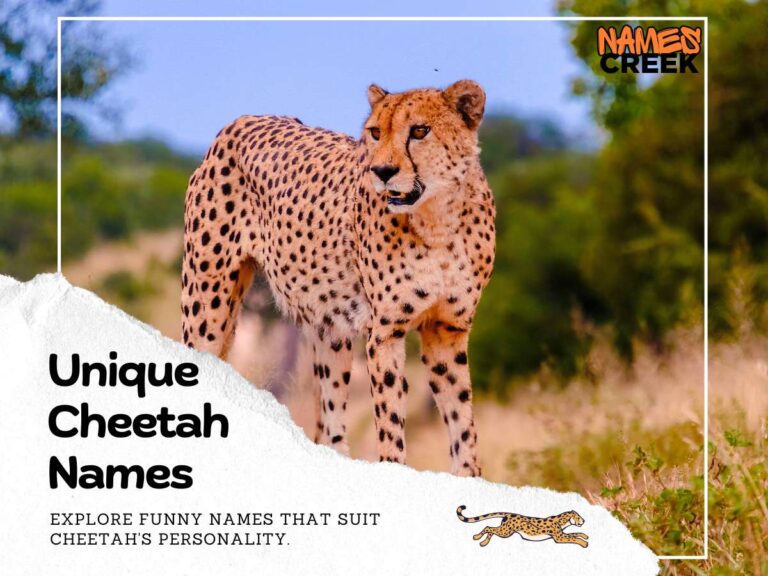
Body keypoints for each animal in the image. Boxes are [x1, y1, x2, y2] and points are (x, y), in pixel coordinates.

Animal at [181, 80, 496, 477]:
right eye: (375, 133)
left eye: (420, 131)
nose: (382, 171)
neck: (439, 219)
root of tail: (242, 120)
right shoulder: (385, 331)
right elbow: (390, 417)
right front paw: (394, 470)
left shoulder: (447, 330)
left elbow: (462, 417)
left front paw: (469, 477)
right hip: (207, 303)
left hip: (331, 329)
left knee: (329, 419)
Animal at [456, 505, 589, 547]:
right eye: (578, 517)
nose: (584, 521)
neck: (563, 520)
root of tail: (509, 514)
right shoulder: (559, 537)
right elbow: (572, 538)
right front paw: (583, 543)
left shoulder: (561, 535)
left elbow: (574, 534)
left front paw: (585, 536)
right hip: (506, 532)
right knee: (489, 527)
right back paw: (479, 539)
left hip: (504, 531)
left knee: (491, 529)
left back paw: (482, 541)